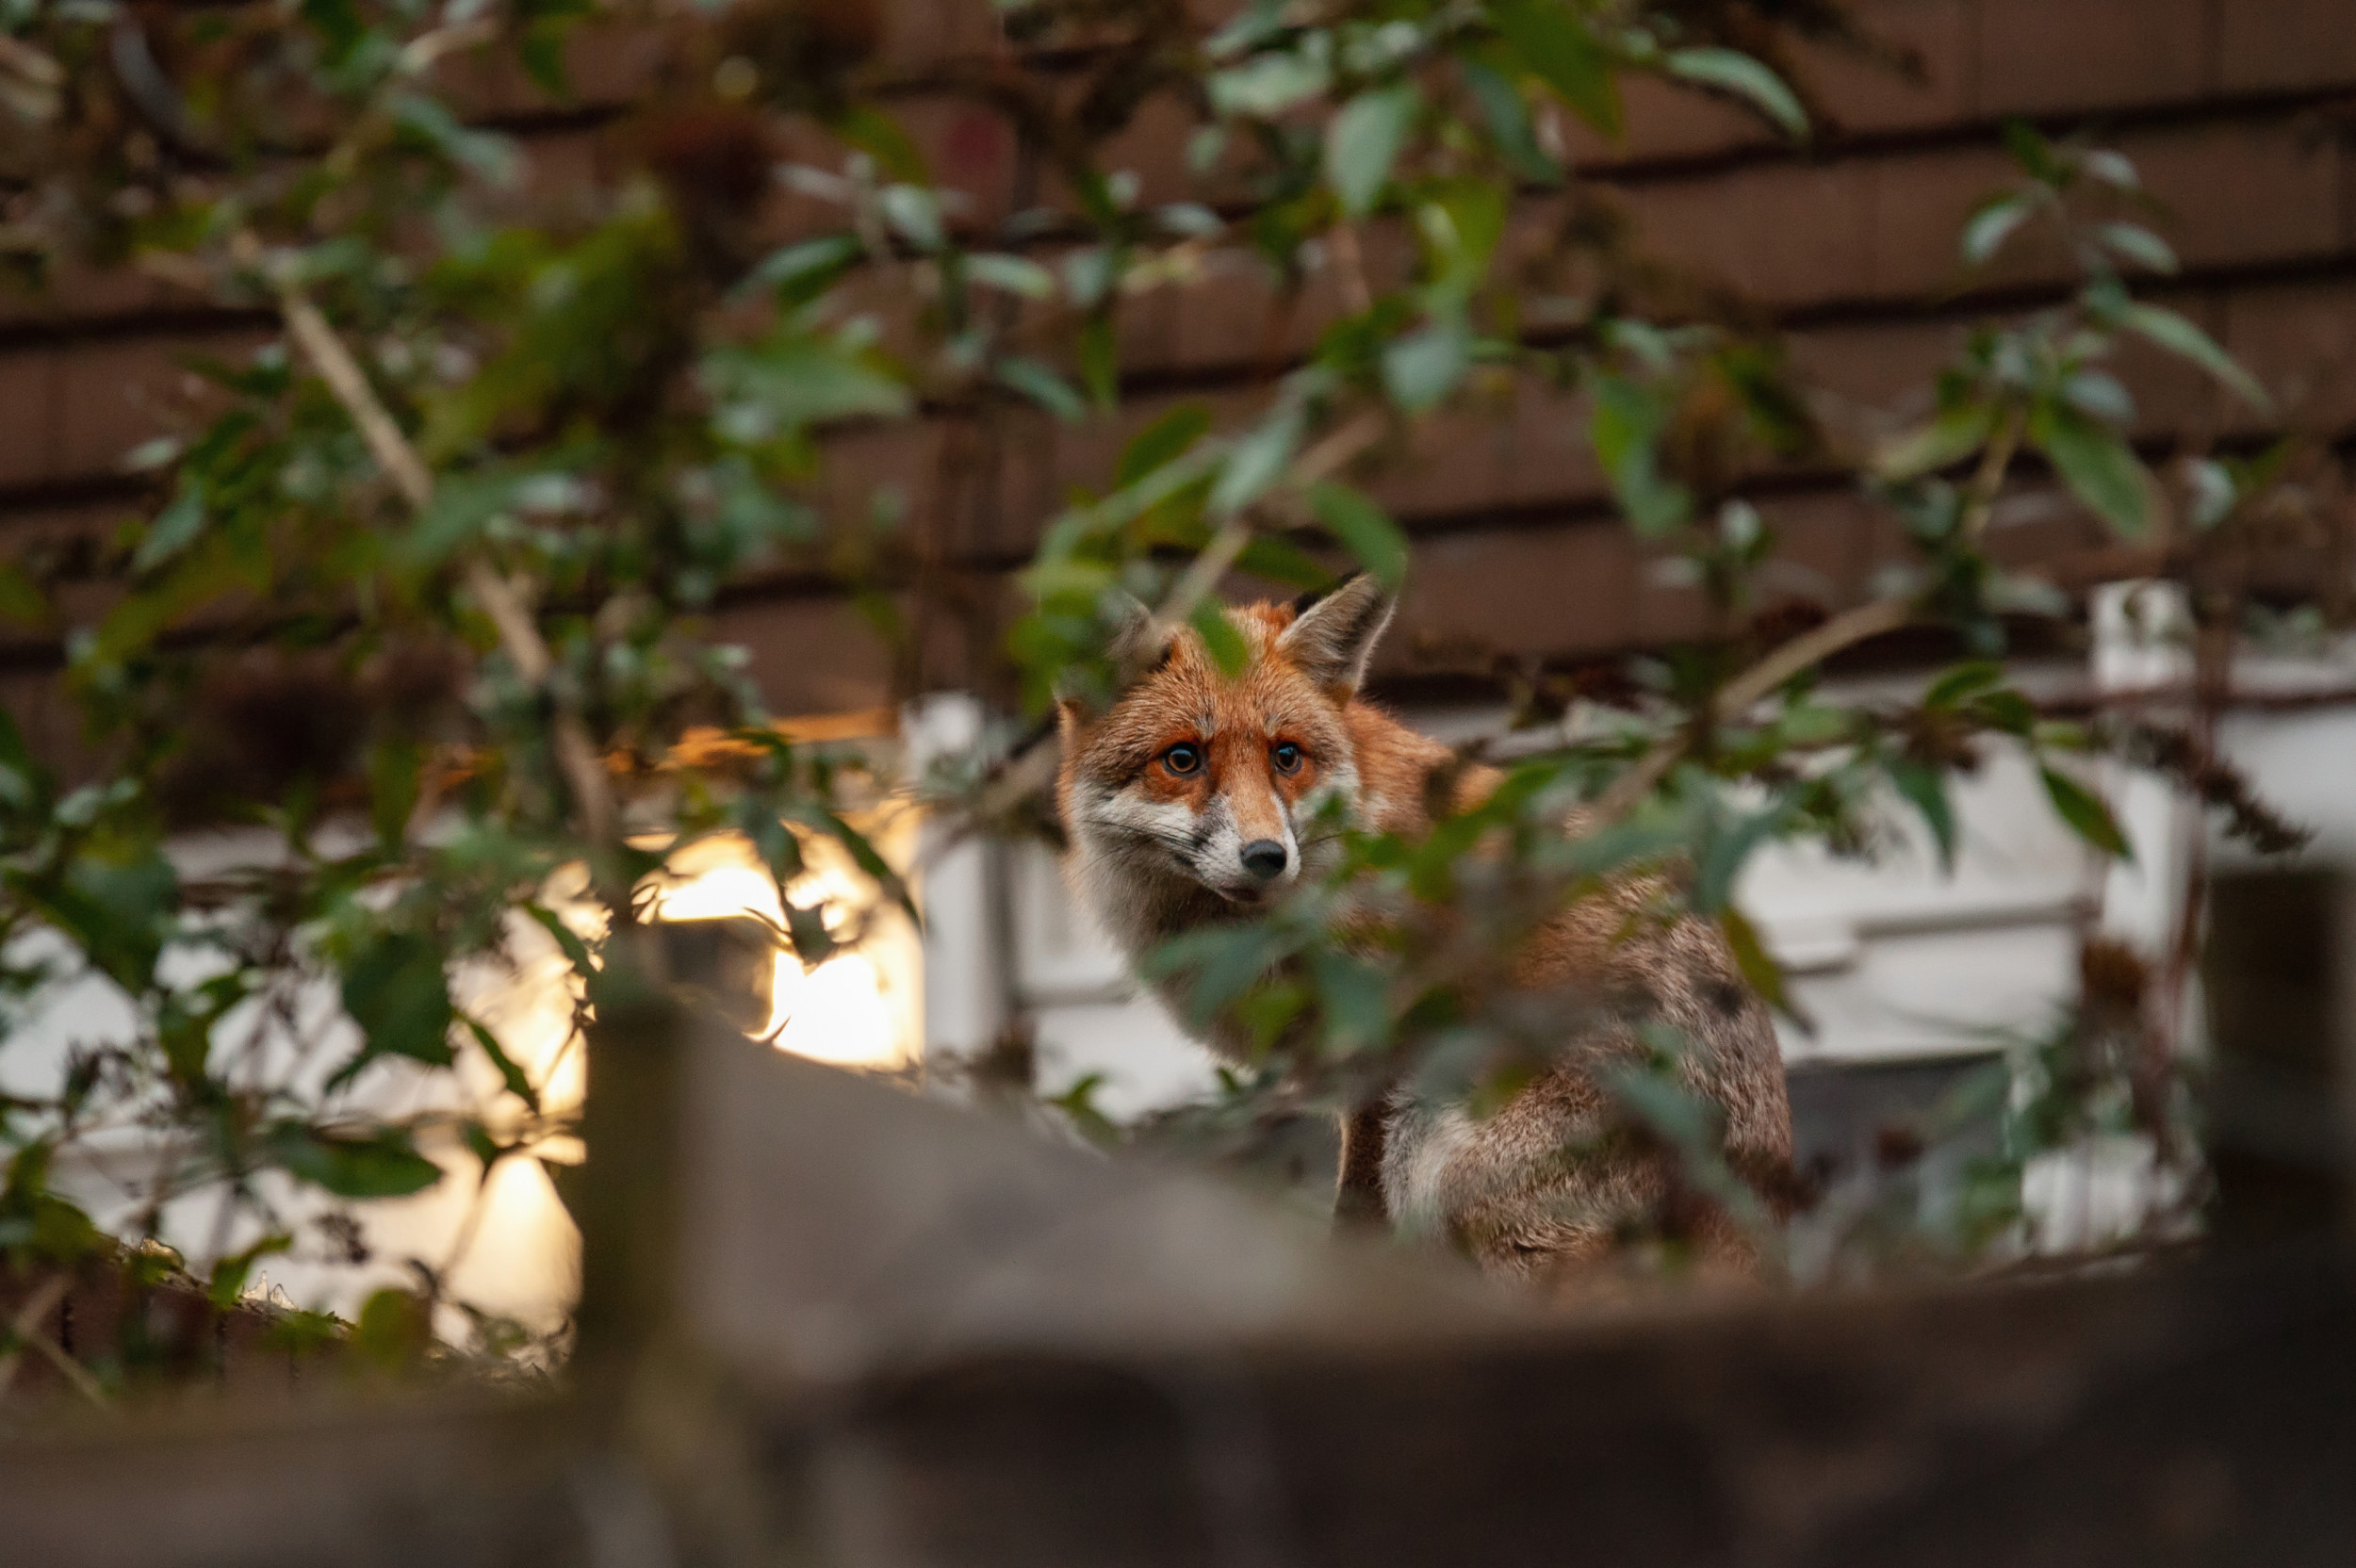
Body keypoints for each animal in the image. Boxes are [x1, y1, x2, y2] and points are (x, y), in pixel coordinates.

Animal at [1056, 574, 1795, 1287]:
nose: (1268, 857)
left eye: (1286, 757)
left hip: (1435, 1146)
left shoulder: (1381, 1053)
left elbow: (1354, 1217)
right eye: (1183, 759)